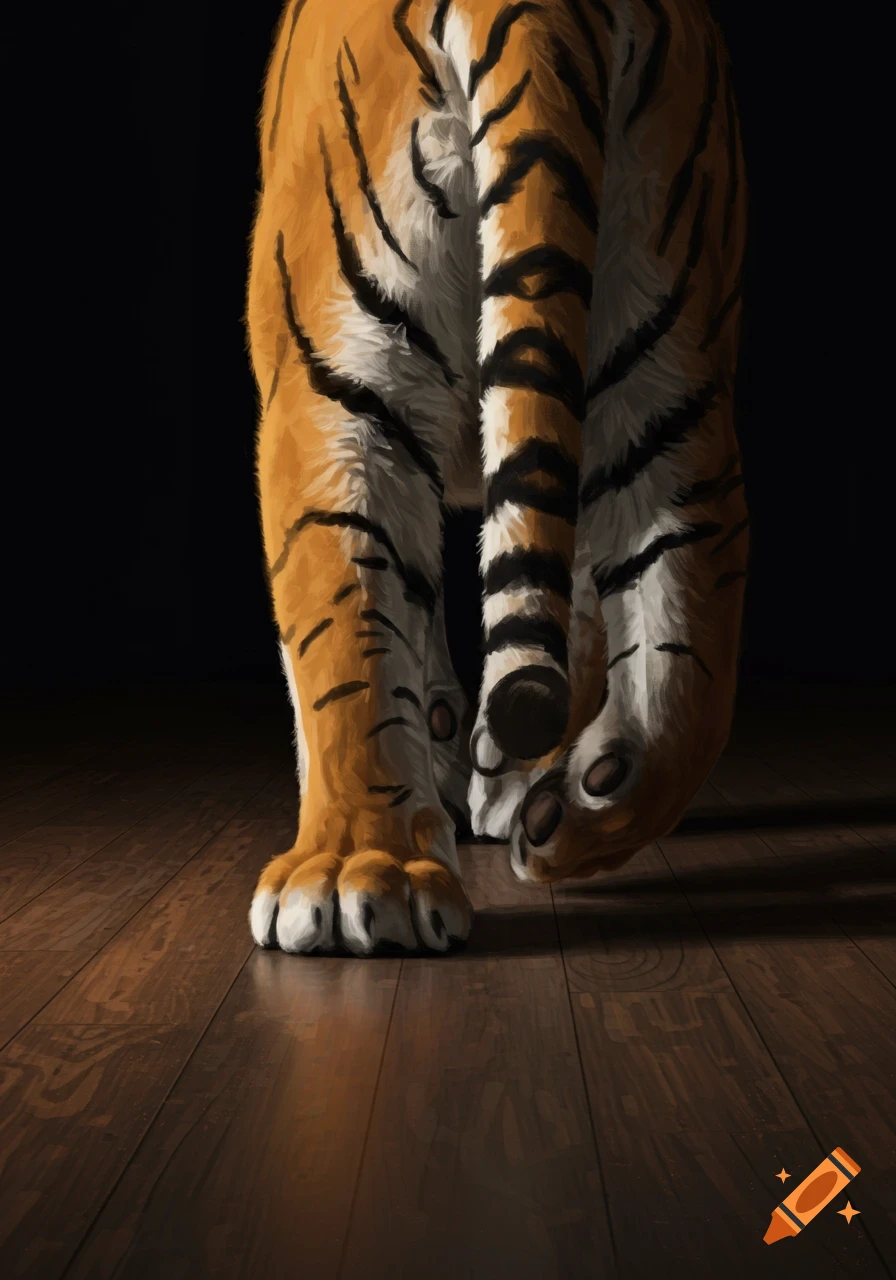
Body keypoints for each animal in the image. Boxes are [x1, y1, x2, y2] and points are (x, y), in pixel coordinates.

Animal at [246, 0, 748, 955]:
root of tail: (546, 16)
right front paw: (509, 775)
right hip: (665, 373)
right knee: (684, 663)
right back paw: (566, 803)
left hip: (350, 379)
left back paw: (360, 872)